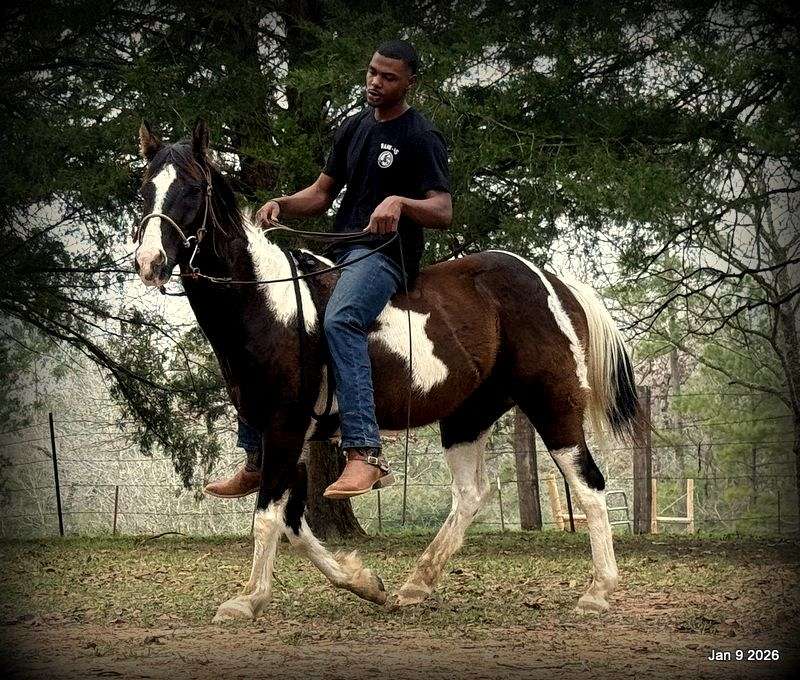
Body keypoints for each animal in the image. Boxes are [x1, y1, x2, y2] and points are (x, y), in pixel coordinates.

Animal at [133, 119, 638, 621]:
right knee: (470, 495)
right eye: (145, 188)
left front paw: (248, 598)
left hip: (553, 405)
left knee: (590, 486)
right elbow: (294, 523)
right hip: (466, 417)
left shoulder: (285, 428)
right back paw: (417, 583)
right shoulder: (284, 435)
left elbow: (268, 518)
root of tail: (552, 282)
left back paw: (598, 590)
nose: (149, 262)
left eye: (192, 189)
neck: (268, 304)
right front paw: (364, 583)